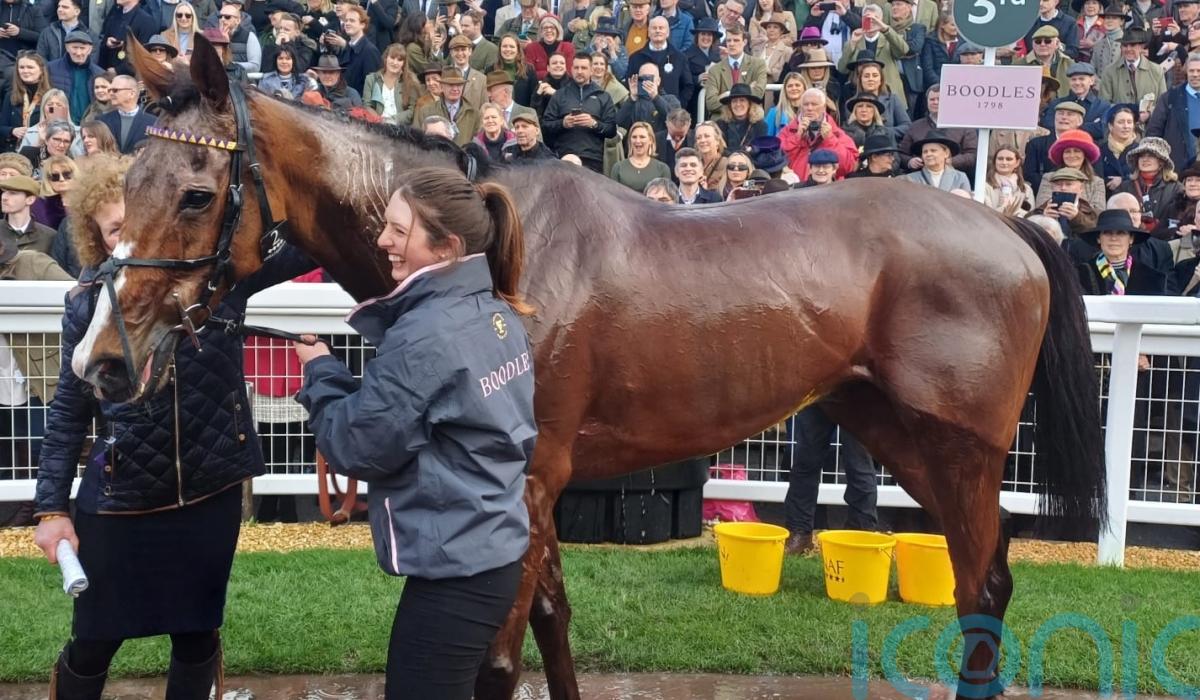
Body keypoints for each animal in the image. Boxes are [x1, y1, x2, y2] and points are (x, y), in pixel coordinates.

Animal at [68, 36, 1106, 700]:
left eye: (197, 194)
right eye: (129, 184)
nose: (103, 359)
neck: (491, 252)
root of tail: (1011, 227)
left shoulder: (525, 476)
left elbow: (494, 661)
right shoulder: (538, 489)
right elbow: (553, 624)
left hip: (960, 451)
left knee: (983, 593)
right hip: (890, 428)